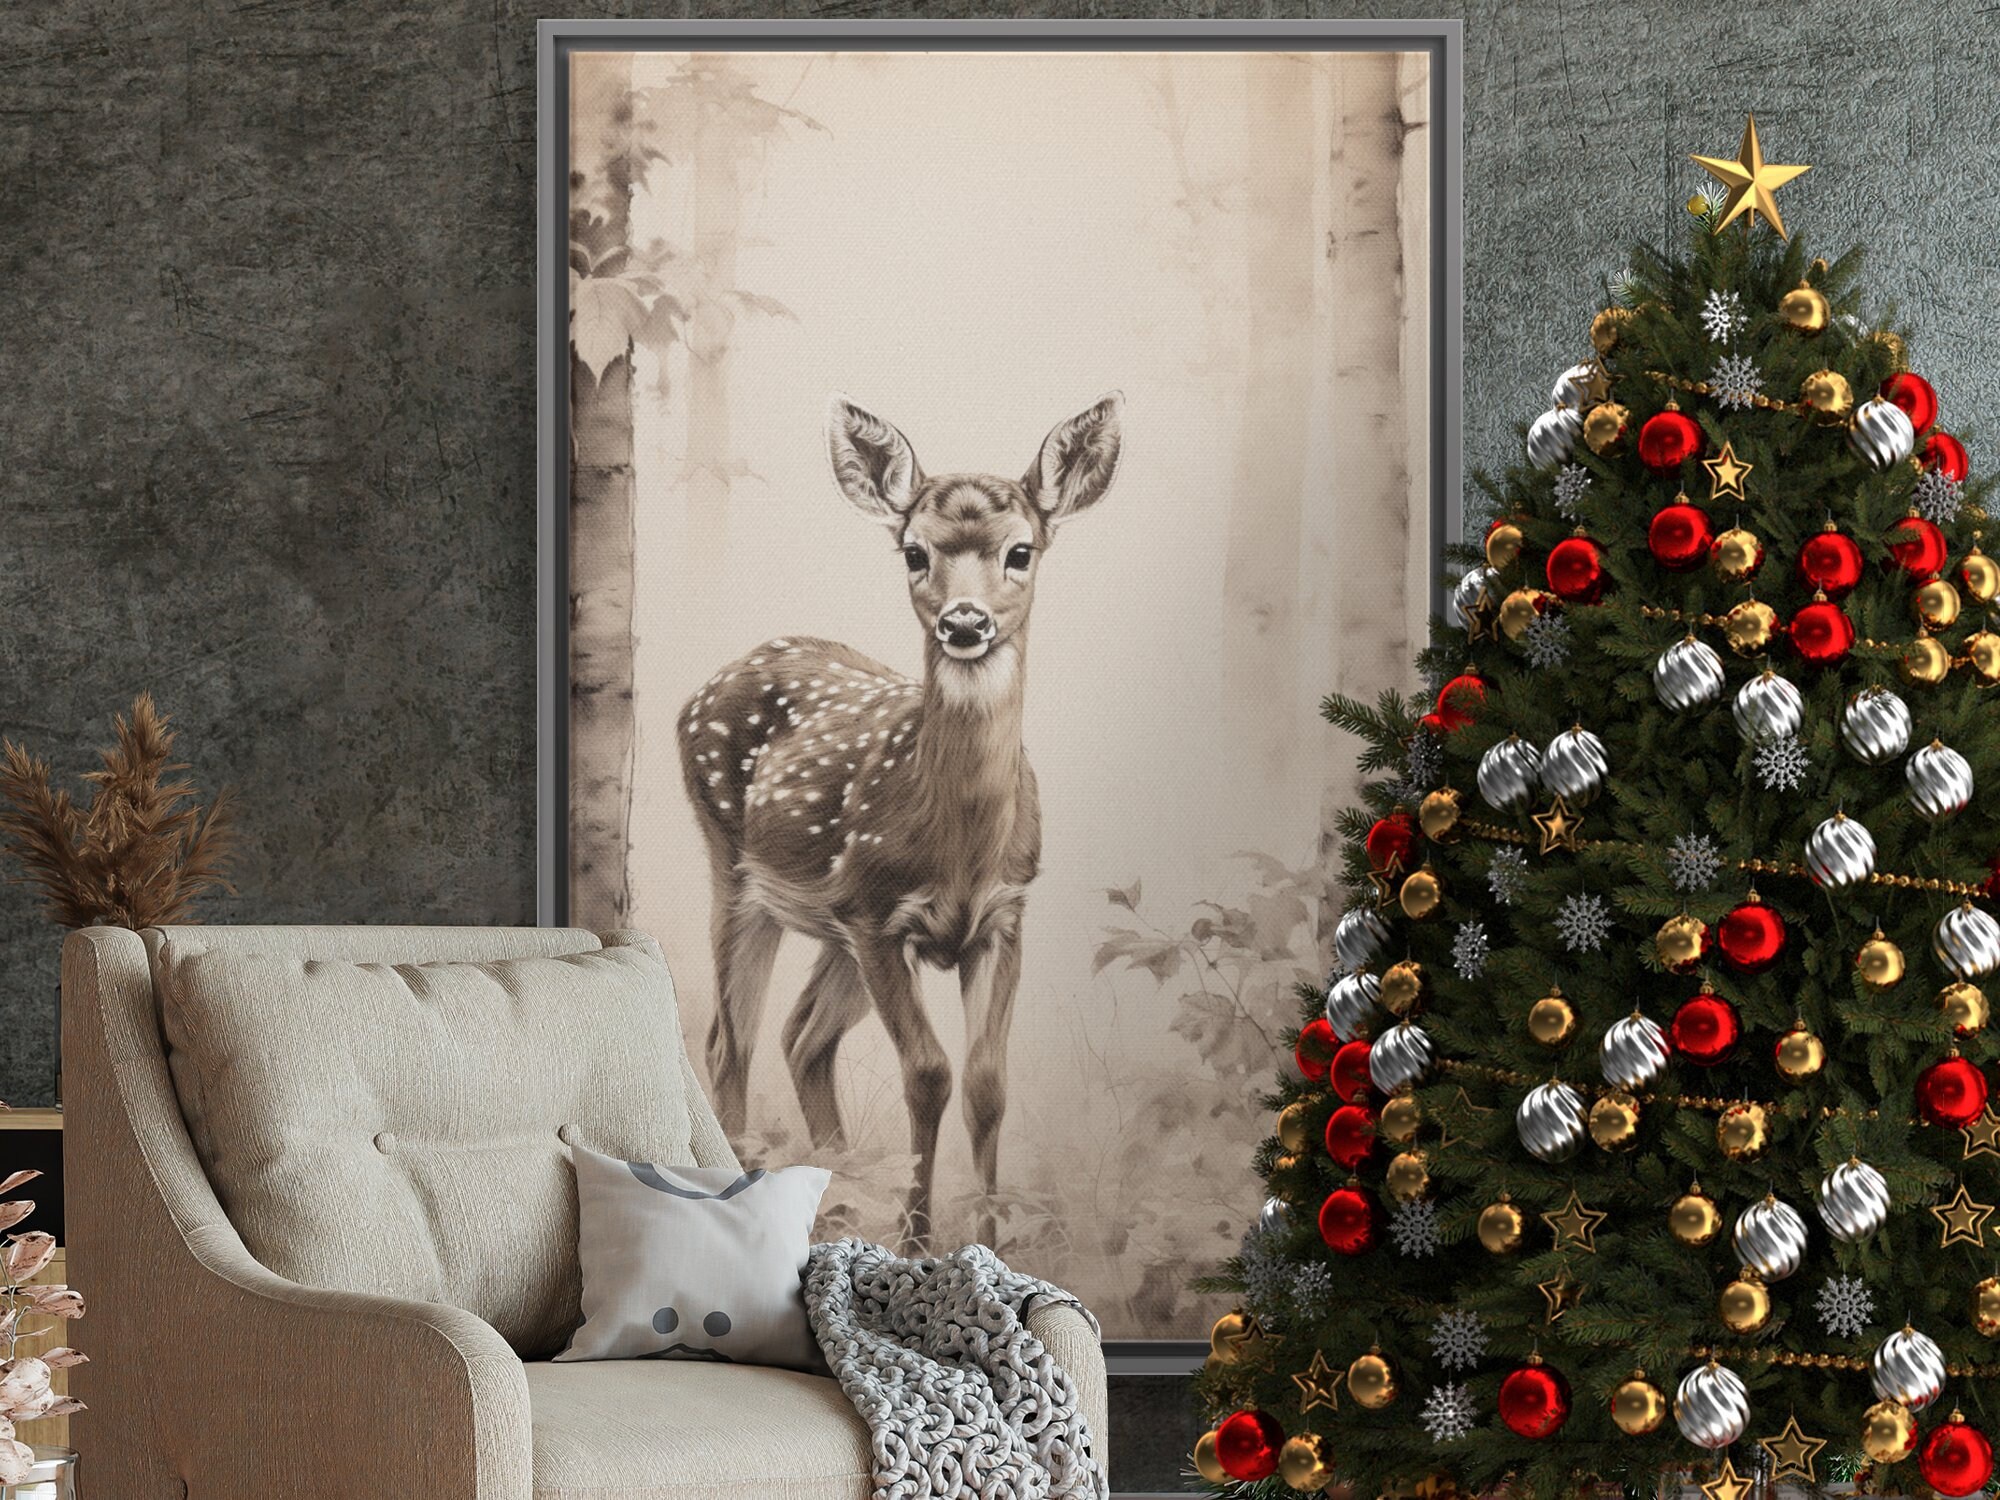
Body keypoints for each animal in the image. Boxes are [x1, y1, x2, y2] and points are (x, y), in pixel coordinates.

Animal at [678, 392, 1124, 1249]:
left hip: (833, 932)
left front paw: (987, 1242)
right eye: (915, 553)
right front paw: (918, 1244)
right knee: (729, 1042)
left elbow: (986, 1084)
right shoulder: (877, 913)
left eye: (1021, 551)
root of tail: (706, 684)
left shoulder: (1002, 917)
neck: (962, 846)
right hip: (736, 866)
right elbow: (928, 1074)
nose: (964, 622)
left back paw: (838, 1196)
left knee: (801, 1037)